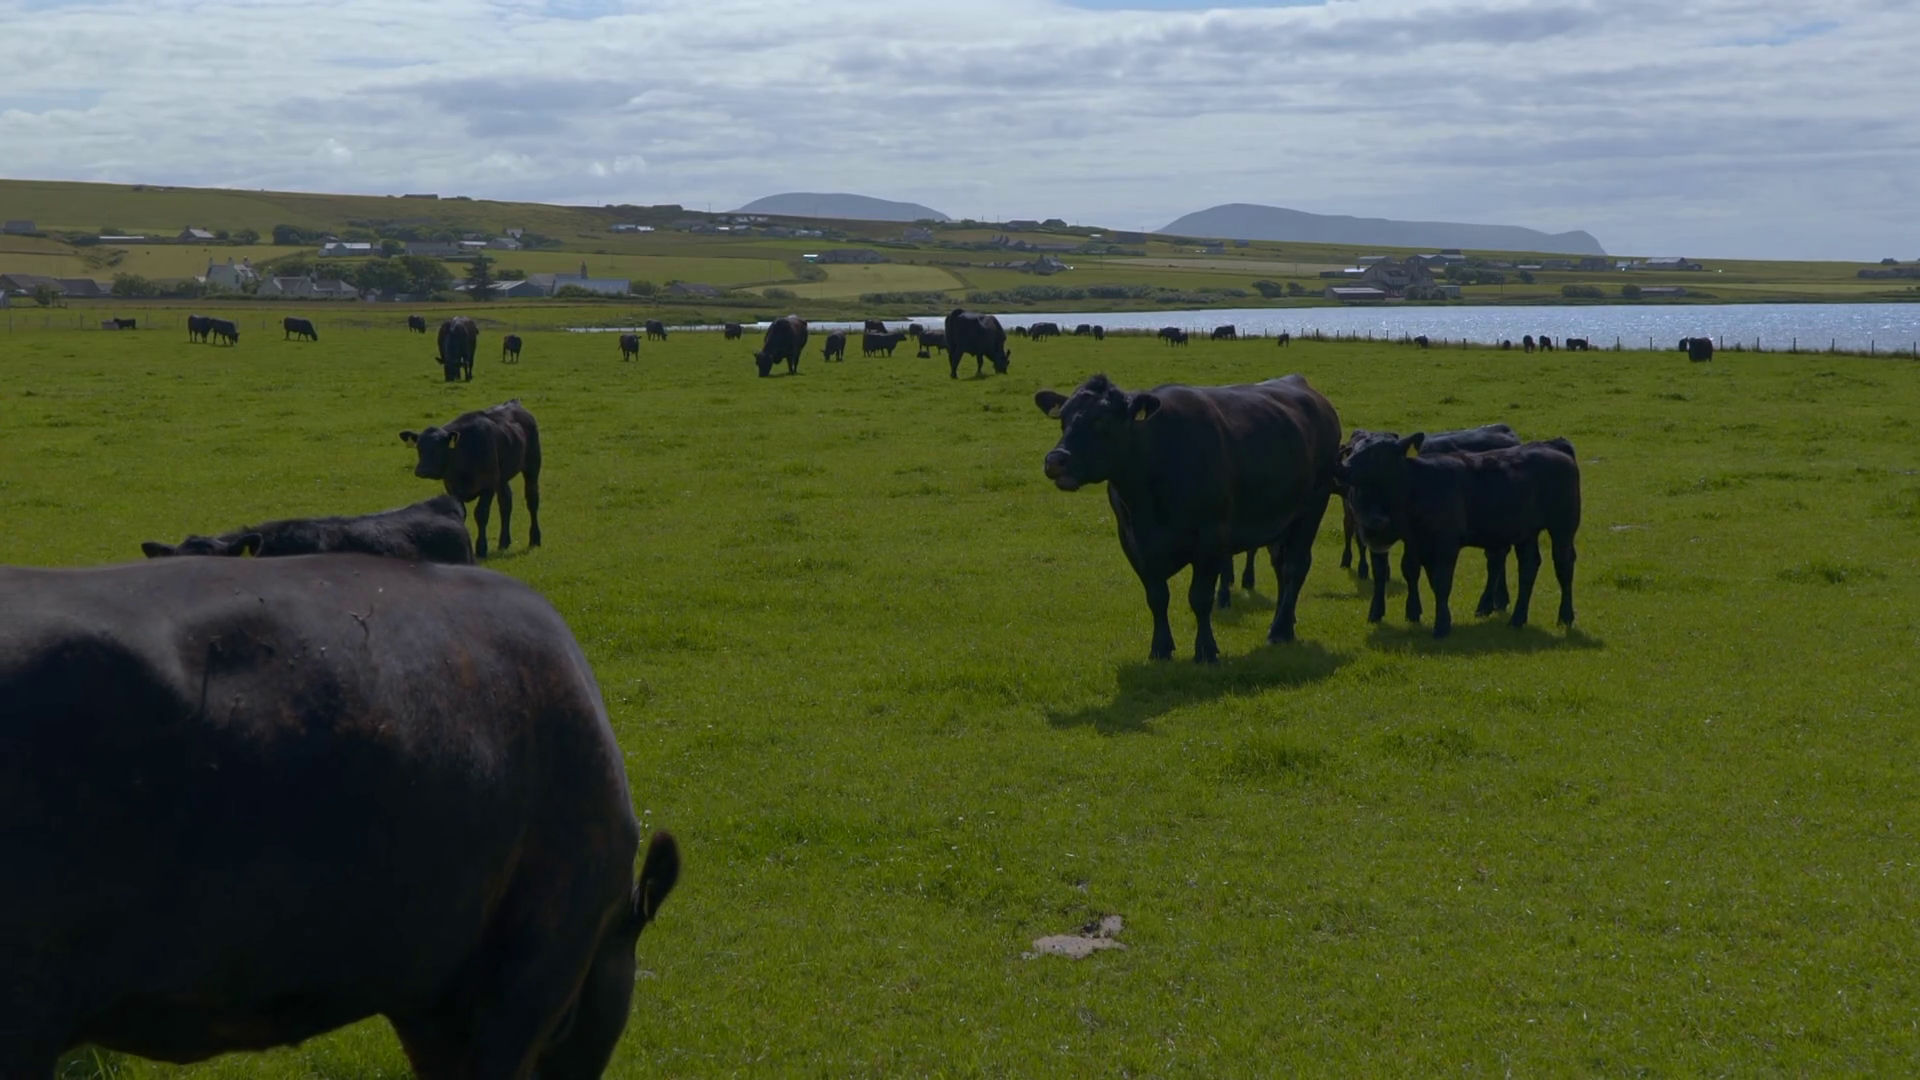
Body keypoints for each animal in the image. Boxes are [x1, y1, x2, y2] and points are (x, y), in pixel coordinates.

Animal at [399, 399, 542, 559]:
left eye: (438, 448)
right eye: (419, 447)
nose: (421, 470)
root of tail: (514, 403)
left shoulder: (488, 486)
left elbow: (481, 514)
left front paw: (481, 549)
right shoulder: (453, 488)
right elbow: (462, 513)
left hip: (532, 465)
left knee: (532, 500)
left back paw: (535, 539)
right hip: (501, 478)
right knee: (505, 503)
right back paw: (504, 542)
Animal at [1034, 373, 1341, 662]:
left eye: (1102, 419)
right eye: (1063, 419)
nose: (1055, 460)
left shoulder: (1210, 539)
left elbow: (1200, 598)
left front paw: (1206, 650)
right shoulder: (1133, 541)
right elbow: (1157, 597)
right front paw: (1160, 648)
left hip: (1313, 506)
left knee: (1295, 567)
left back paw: (1280, 630)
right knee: (1281, 567)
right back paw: (1284, 619)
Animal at [1339, 434, 1580, 638]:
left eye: (1376, 453)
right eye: (1352, 450)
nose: (1343, 466)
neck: (1415, 486)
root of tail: (1552, 445)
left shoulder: (1446, 542)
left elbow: (1441, 581)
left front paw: (1441, 626)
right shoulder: (1417, 543)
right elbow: (1420, 576)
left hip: (1564, 527)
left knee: (1564, 565)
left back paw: (1565, 616)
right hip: (1526, 533)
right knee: (1528, 568)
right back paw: (1517, 619)